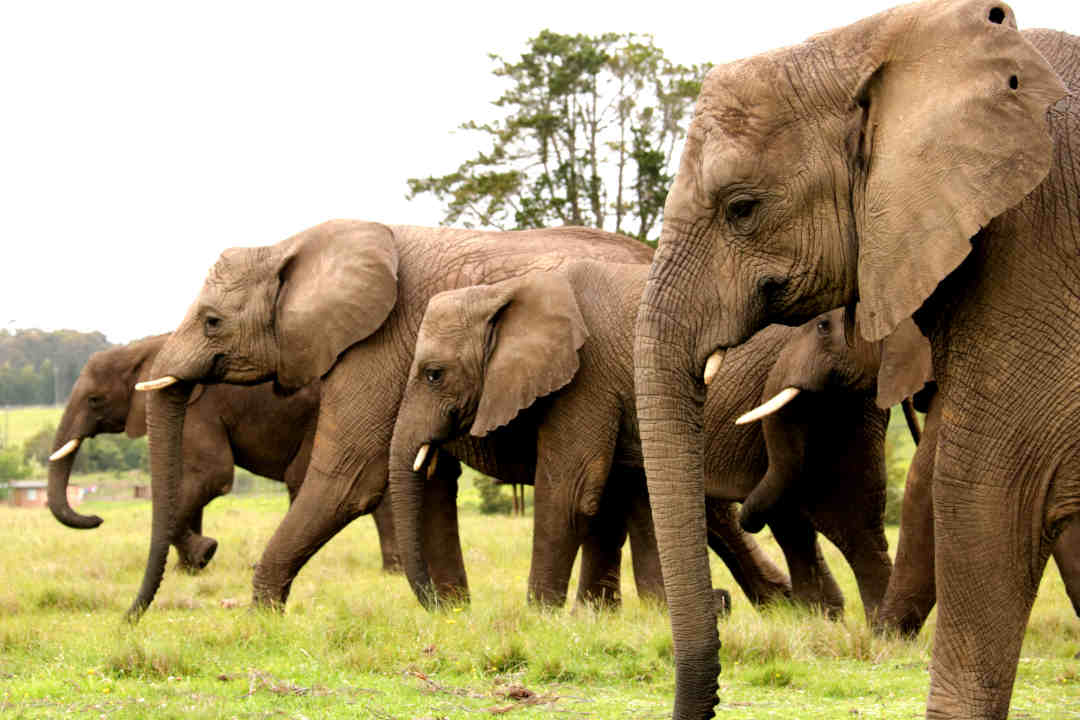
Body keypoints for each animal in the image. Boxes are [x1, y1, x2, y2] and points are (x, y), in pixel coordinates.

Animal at [46, 333, 399, 573]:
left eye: (94, 400)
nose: (97, 518)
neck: (141, 348)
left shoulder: (198, 407)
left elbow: (212, 475)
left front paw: (205, 553)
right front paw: (191, 567)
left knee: (302, 480)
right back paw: (391, 570)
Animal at [129, 219, 657, 619]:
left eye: (212, 321)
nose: (130, 618)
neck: (292, 247)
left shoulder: (378, 343)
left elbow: (350, 474)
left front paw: (261, 616)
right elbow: (431, 477)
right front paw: (453, 615)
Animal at [391, 259, 905, 622]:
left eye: (433, 375)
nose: (446, 609)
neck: (510, 289)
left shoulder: (586, 378)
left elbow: (574, 494)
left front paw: (540, 617)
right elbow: (617, 498)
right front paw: (611, 615)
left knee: (845, 511)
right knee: (816, 517)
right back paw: (822, 618)